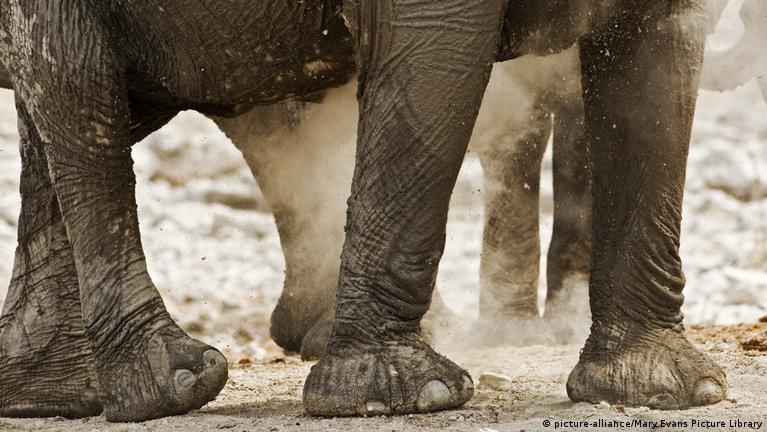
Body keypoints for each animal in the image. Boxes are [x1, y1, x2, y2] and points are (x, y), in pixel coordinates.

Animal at [0, 0, 726, 424]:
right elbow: (432, 54)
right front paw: (402, 398)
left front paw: (667, 391)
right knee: (76, 90)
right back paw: (176, 386)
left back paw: (53, 397)